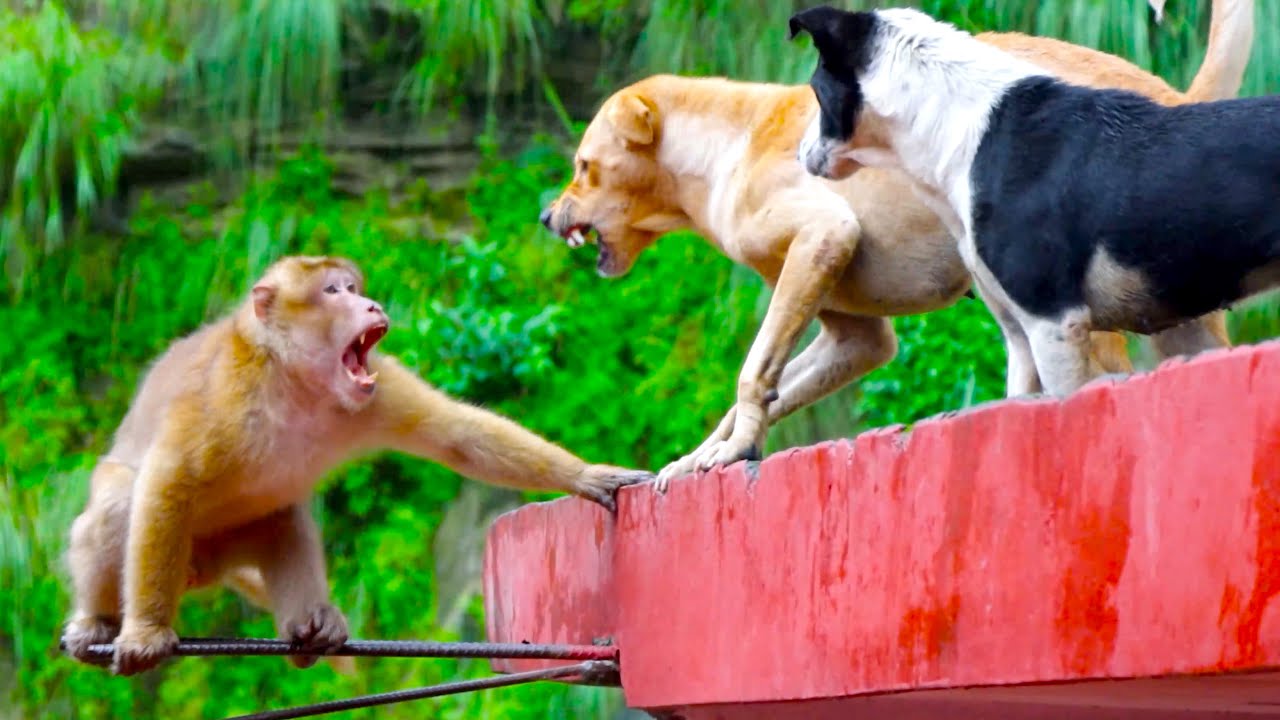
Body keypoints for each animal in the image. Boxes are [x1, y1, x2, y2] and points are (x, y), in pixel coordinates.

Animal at [60, 255, 652, 676]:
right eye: (332, 291)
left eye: (350, 286)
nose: (368, 304)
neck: (295, 382)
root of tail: (202, 571)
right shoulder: (220, 393)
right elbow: (169, 480)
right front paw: (146, 631)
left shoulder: (376, 389)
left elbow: (457, 435)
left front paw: (588, 476)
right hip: (181, 546)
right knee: (119, 503)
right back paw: (95, 622)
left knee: (284, 520)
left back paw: (308, 627)